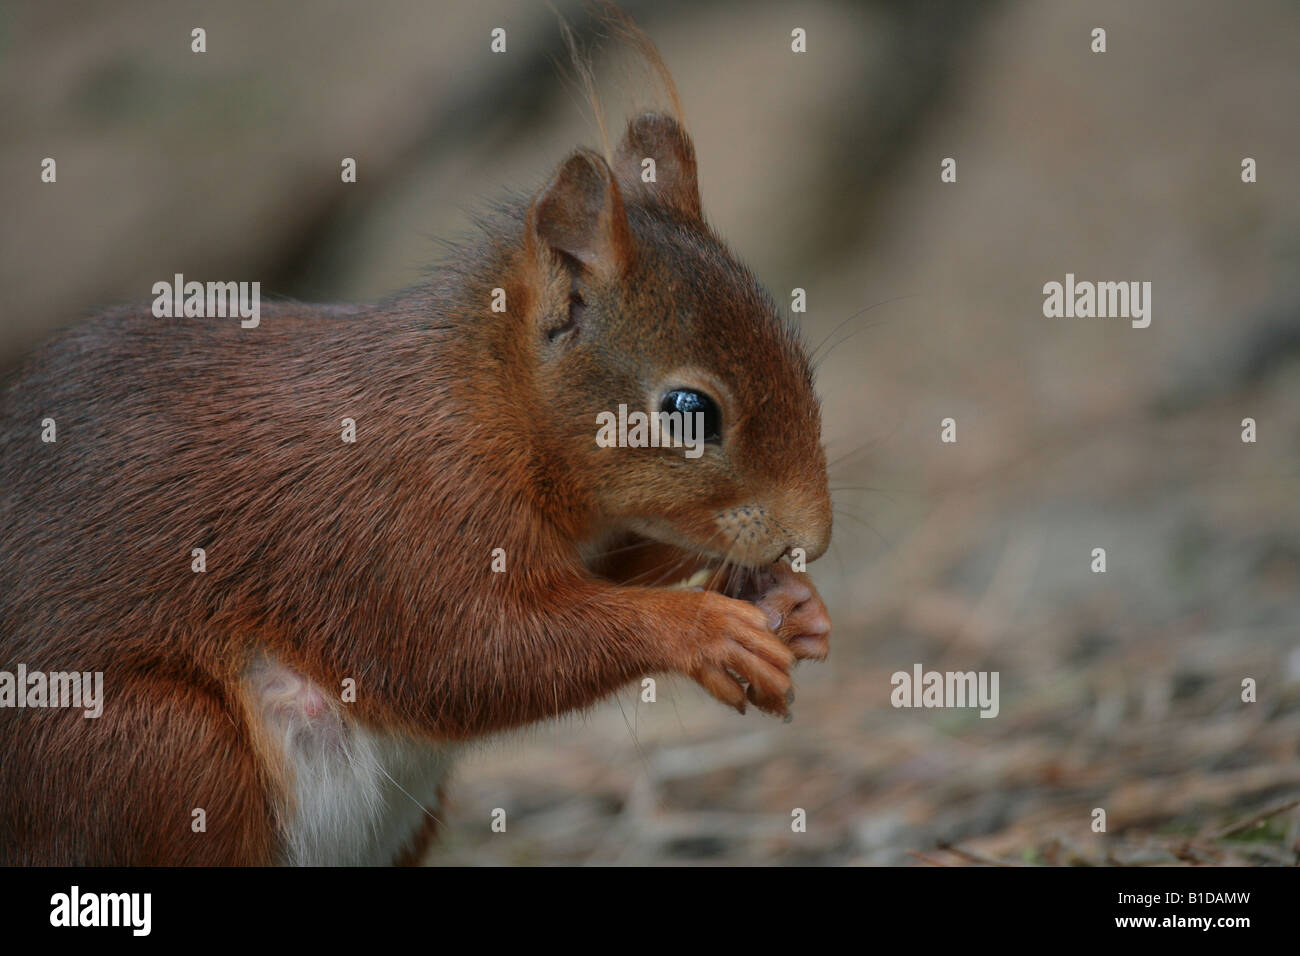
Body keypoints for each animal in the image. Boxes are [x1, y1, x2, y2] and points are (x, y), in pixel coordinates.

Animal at [0, 20, 832, 866]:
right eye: (690, 410)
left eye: (801, 358)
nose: (814, 537)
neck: (488, 407)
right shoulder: (397, 524)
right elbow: (470, 656)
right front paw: (704, 630)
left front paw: (790, 603)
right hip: (164, 754)